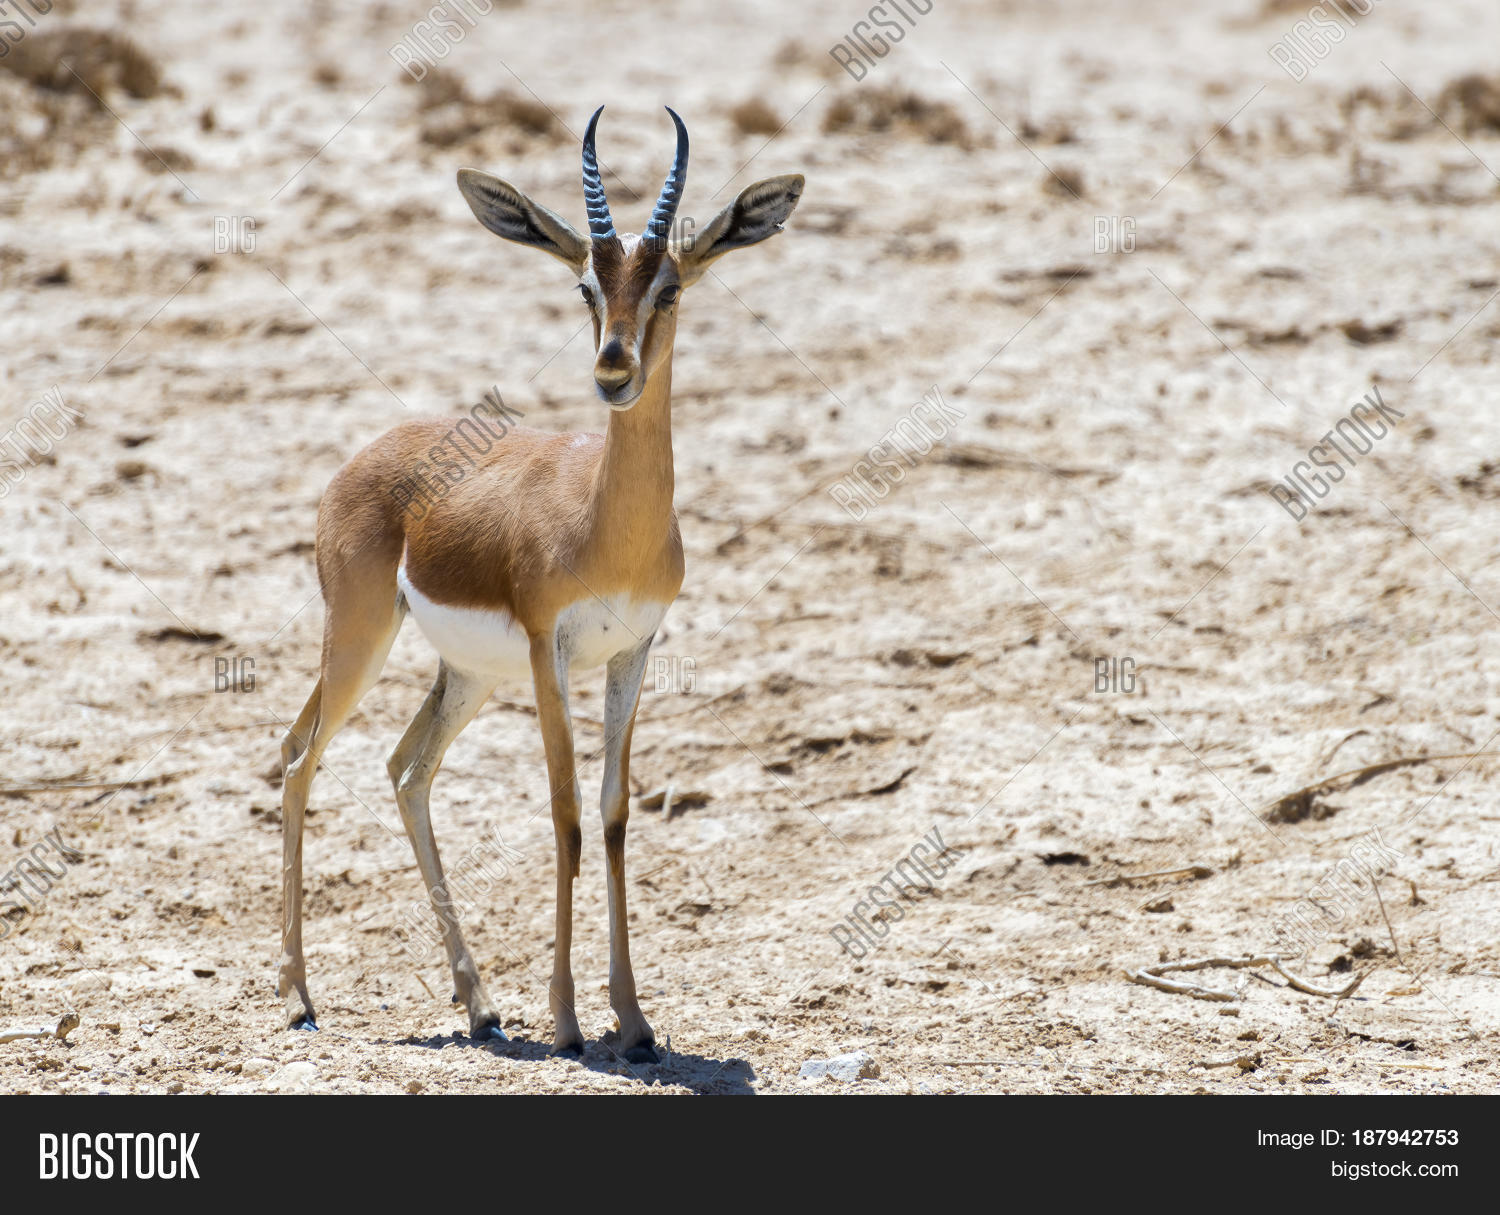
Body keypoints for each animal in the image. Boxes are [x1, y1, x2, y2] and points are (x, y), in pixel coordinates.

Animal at [276, 105, 803, 1062]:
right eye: (586, 288)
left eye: (669, 288)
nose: (613, 370)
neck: (606, 525)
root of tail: (363, 457)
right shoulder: (546, 647)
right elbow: (562, 810)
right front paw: (566, 1019)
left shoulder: (634, 649)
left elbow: (613, 809)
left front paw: (634, 1020)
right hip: (363, 638)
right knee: (303, 758)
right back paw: (298, 995)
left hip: (465, 673)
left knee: (403, 767)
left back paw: (480, 1006)